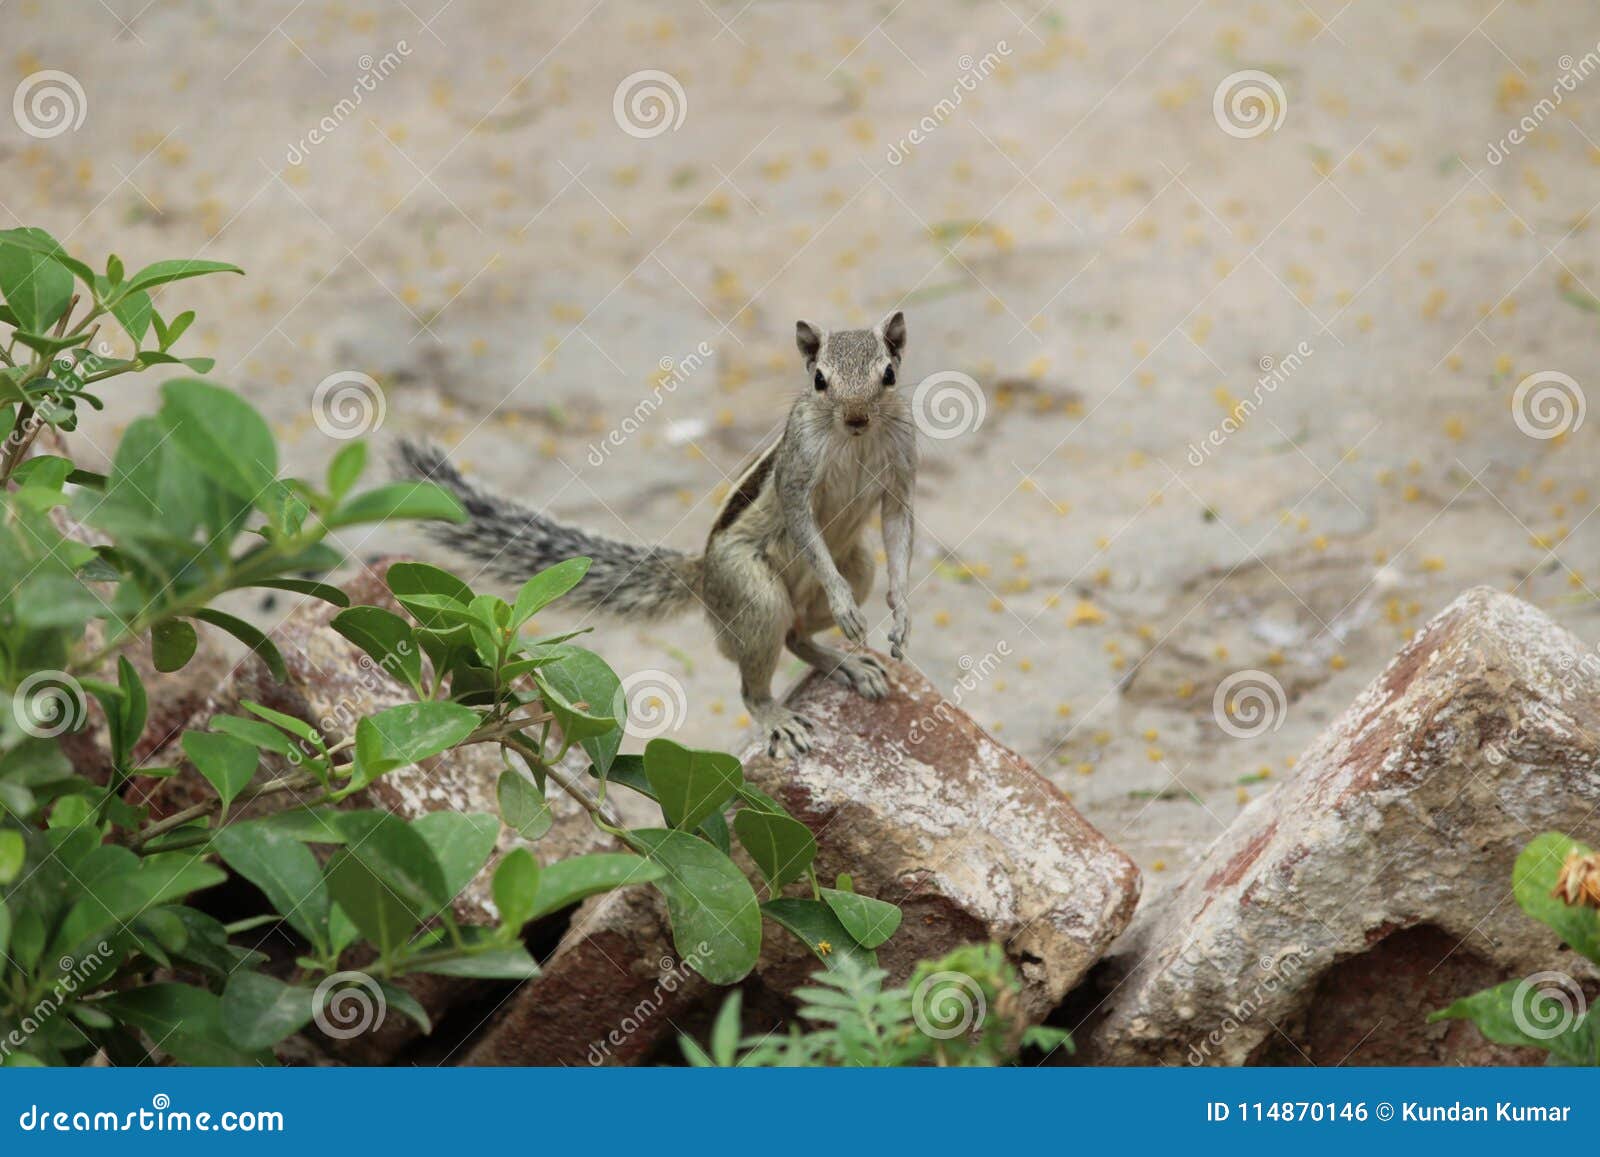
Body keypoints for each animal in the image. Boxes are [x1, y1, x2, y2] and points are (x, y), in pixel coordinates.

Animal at [396, 310, 916, 759]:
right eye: (819, 380)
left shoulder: (900, 473)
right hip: (753, 593)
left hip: (859, 566)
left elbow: (898, 526)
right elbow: (801, 519)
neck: (855, 442)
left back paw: (846, 664)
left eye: (889, 375)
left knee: (797, 636)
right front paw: (843, 605)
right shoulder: (796, 477)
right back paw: (778, 716)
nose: (856, 418)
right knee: (757, 676)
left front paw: (901, 612)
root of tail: (703, 576)